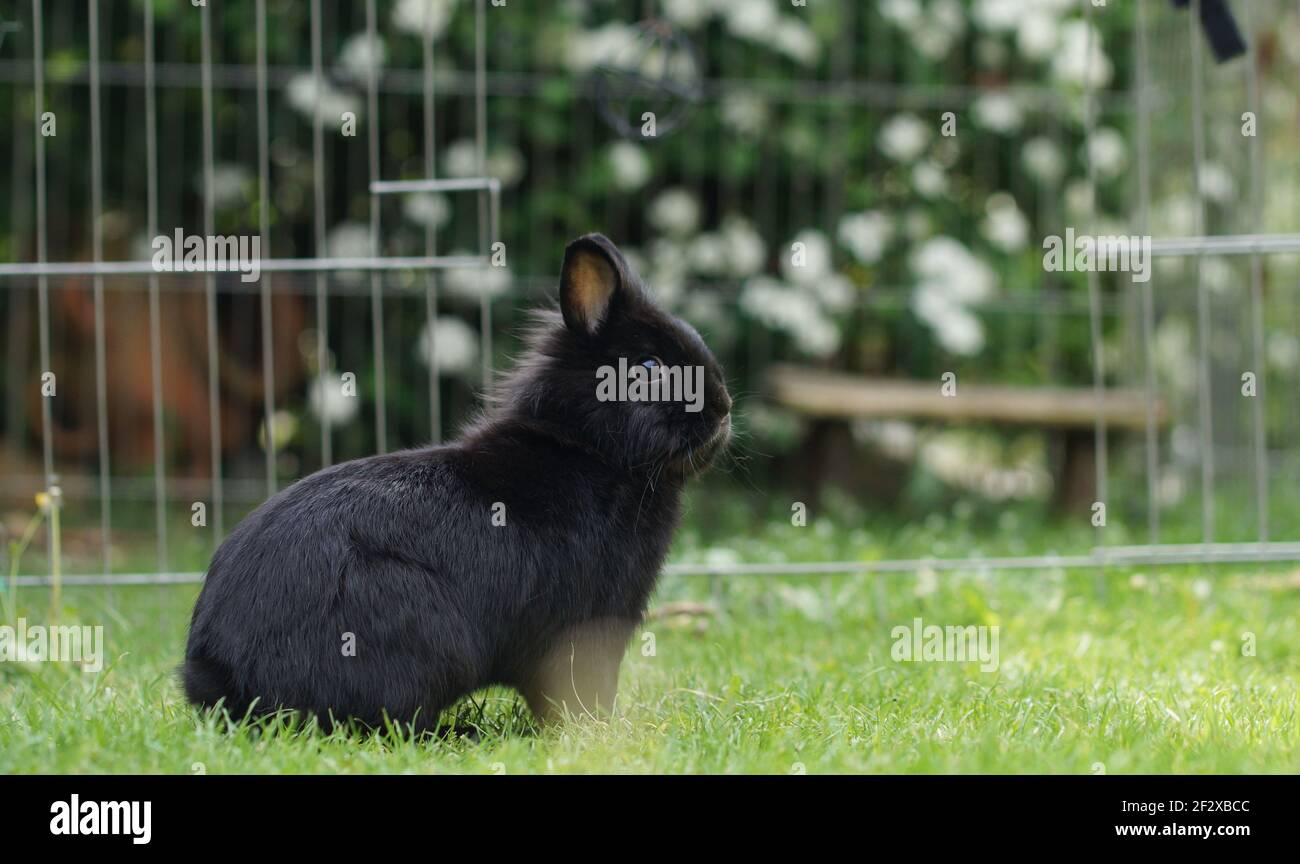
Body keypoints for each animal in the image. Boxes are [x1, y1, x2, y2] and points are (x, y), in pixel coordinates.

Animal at [182, 233, 732, 731]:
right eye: (649, 367)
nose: (724, 408)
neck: (592, 450)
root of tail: (220, 672)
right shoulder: (588, 627)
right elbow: (579, 691)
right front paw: (600, 731)